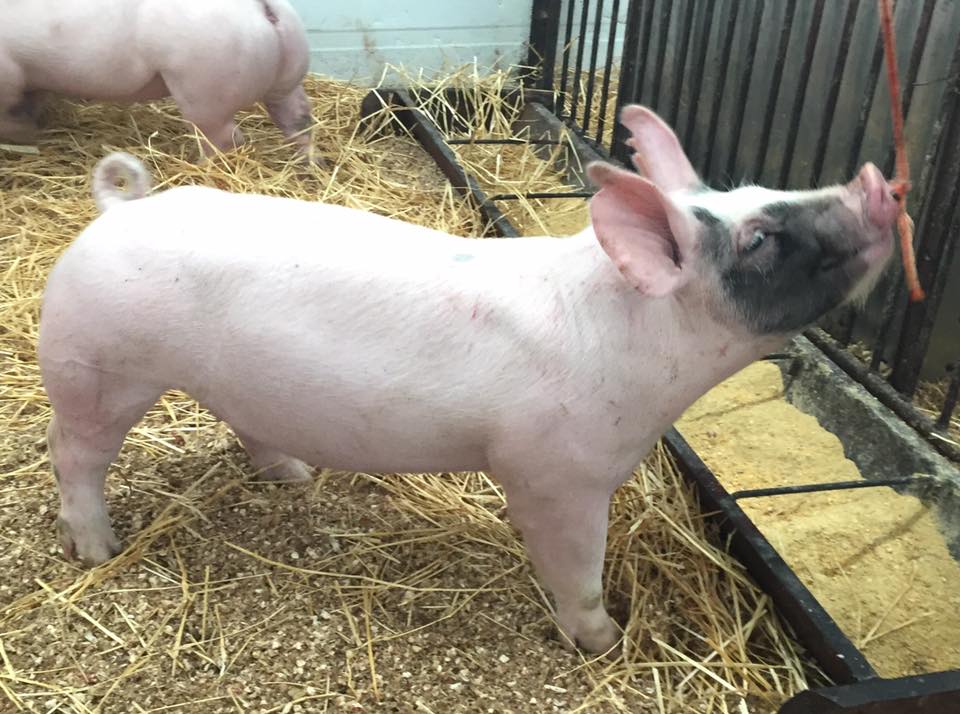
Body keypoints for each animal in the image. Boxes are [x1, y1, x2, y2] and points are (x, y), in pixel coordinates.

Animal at [0, 0, 312, 157]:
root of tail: (265, 7)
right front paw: (33, 129)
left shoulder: (10, 75)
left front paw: (26, 134)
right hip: (287, 79)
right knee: (299, 119)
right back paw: (311, 163)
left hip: (205, 90)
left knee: (227, 139)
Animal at [38, 106, 897, 653]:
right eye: (760, 237)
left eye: (758, 195)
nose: (876, 183)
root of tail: (116, 209)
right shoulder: (553, 473)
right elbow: (575, 569)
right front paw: (605, 641)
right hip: (97, 365)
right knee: (72, 454)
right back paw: (99, 551)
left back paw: (295, 475)